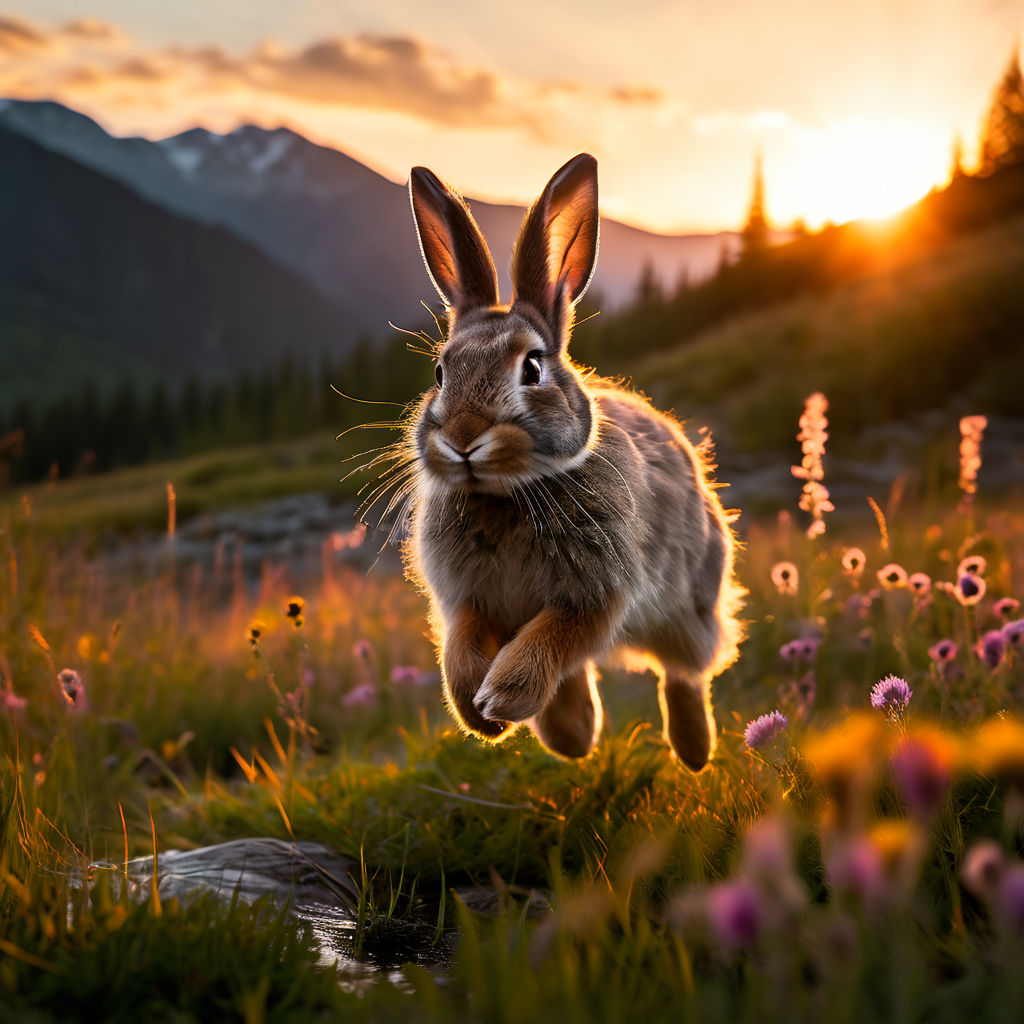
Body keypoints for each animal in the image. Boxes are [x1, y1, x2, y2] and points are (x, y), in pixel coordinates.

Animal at [402, 153, 743, 770]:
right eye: (440, 372)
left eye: (532, 368)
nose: (463, 438)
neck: (508, 494)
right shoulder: (469, 601)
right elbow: (460, 646)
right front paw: (477, 714)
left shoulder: (595, 592)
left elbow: (554, 637)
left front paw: (501, 696)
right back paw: (573, 737)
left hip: (693, 602)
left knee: (684, 672)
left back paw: (692, 751)